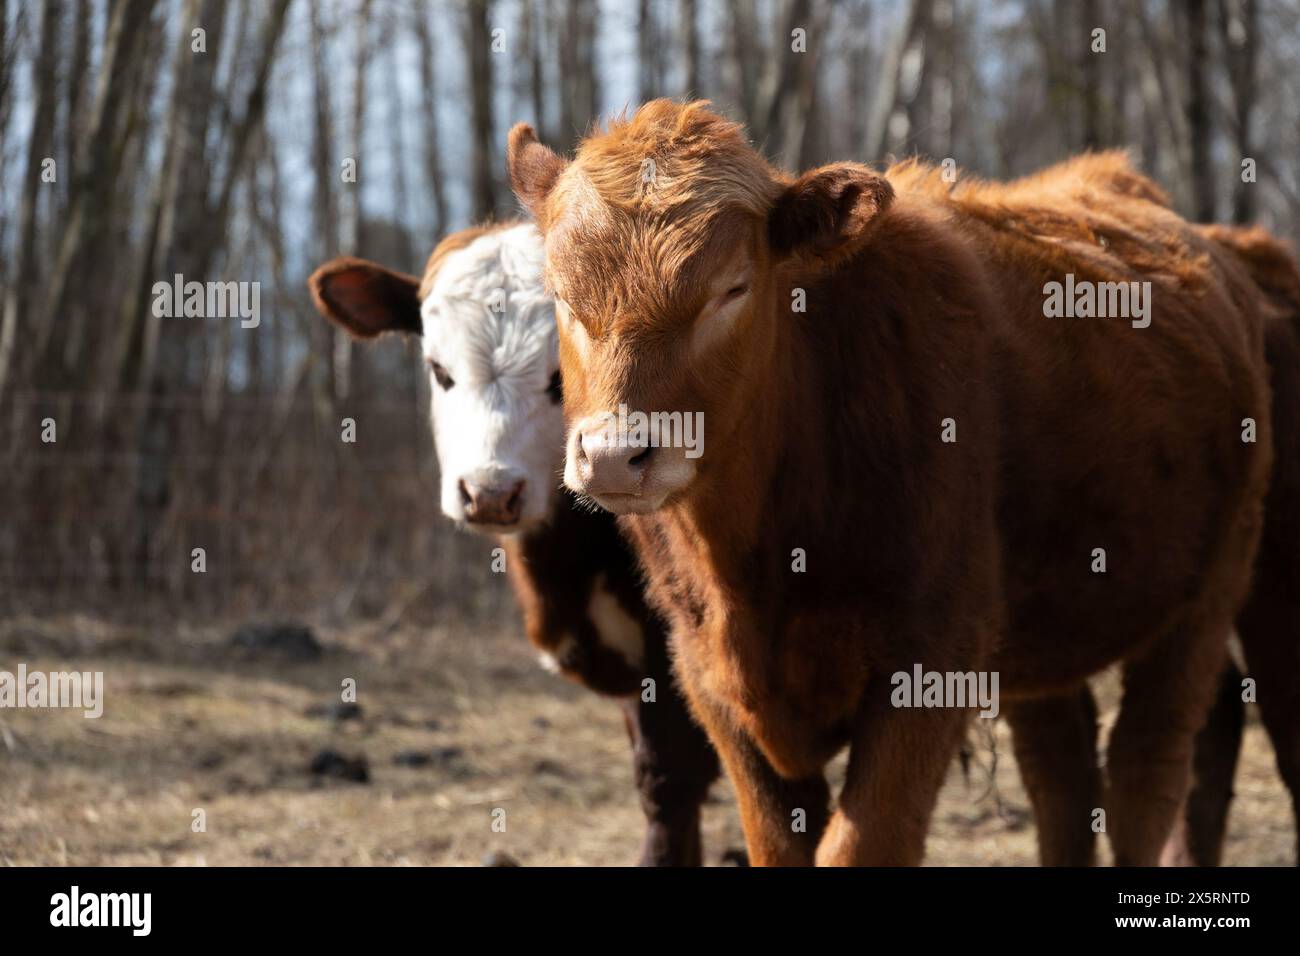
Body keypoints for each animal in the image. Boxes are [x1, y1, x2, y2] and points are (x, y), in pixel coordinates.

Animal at [507, 99, 1282, 865]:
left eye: (732, 288)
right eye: (563, 296)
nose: (615, 455)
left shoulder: (932, 662)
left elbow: (863, 843)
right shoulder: (711, 686)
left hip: (1207, 593)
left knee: (1145, 774)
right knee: (1062, 774)